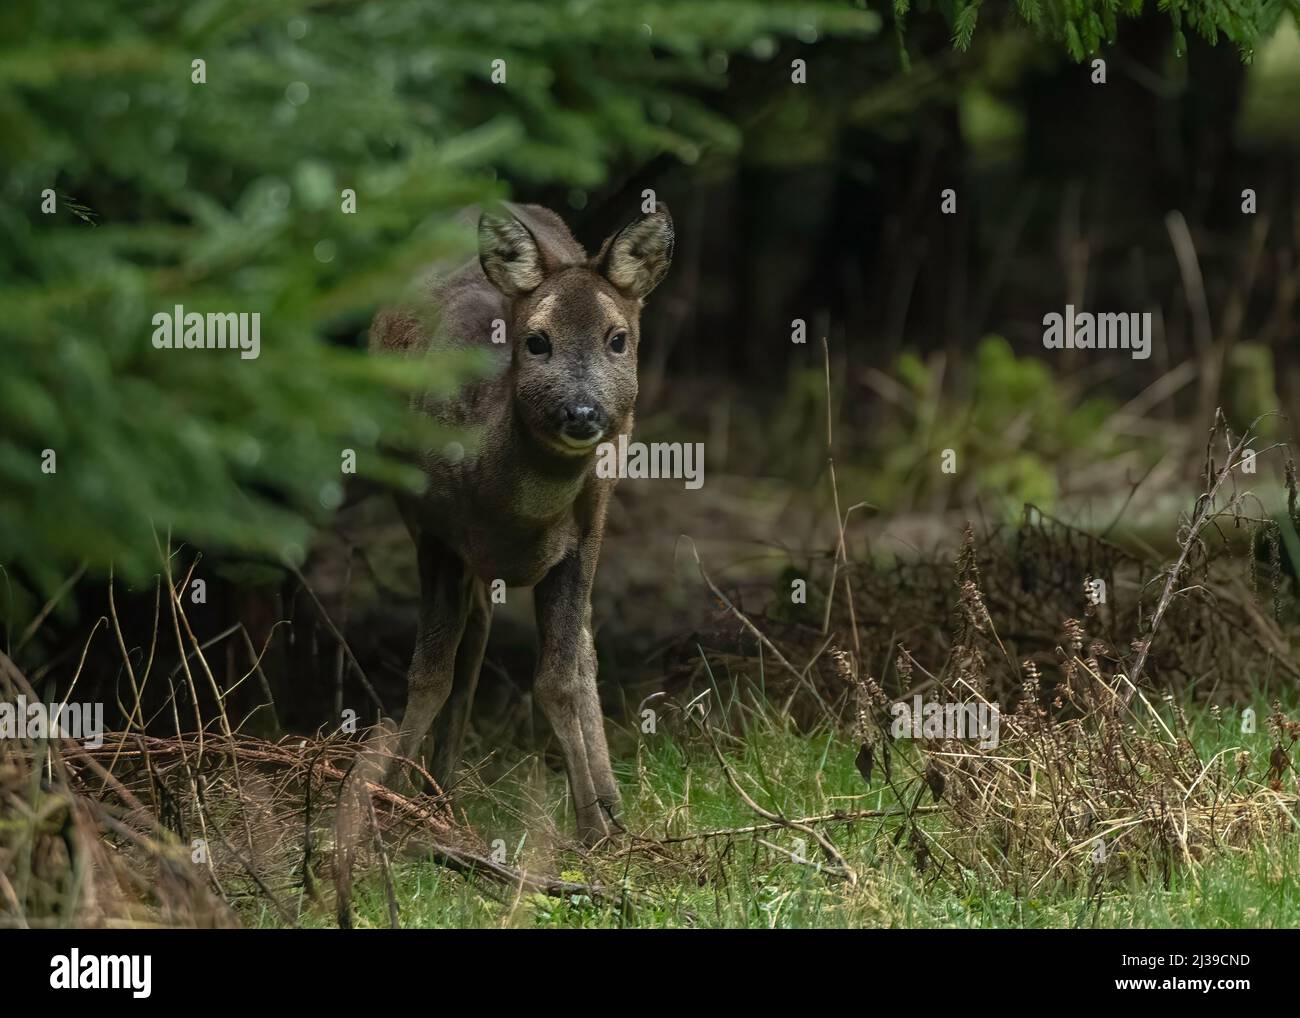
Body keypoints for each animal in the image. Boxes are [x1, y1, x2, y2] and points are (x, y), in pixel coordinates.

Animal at [368, 200, 674, 845]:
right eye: (536, 340)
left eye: (617, 338)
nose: (581, 411)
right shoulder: (434, 530)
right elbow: (428, 673)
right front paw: (387, 804)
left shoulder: (581, 537)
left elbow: (557, 677)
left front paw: (593, 828)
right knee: (479, 625)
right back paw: (438, 786)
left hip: (602, 505)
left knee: (581, 645)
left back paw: (611, 803)